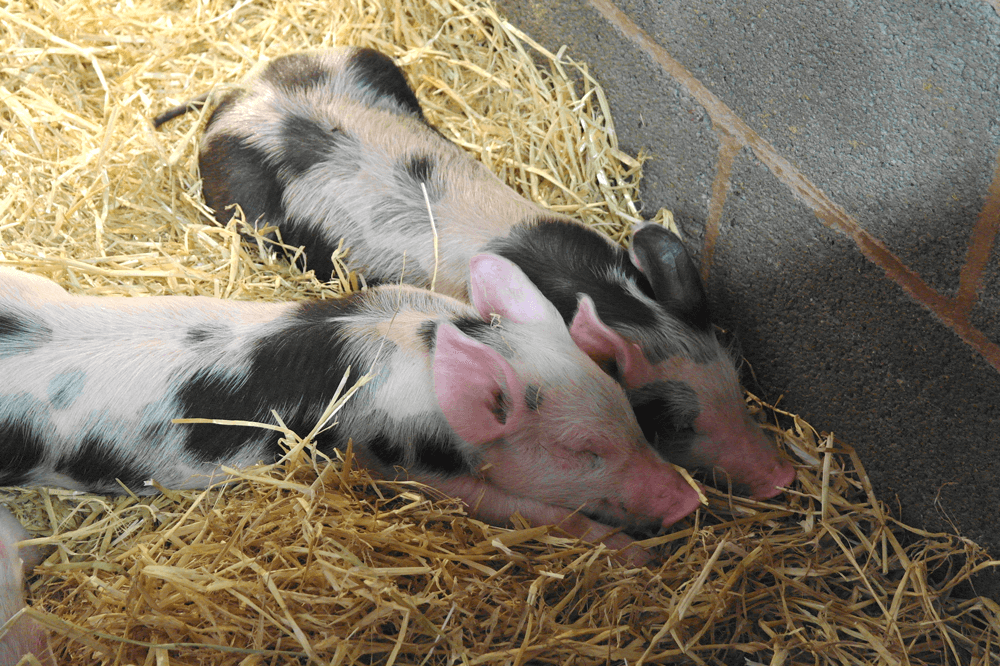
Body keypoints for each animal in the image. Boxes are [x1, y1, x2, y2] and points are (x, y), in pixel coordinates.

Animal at [0, 256, 703, 561]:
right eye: (583, 451)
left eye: (631, 416)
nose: (686, 502)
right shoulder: (405, 466)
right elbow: (526, 510)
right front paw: (635, 555)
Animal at [153, 47, 796, 500]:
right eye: (669, 418)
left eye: (732, 380)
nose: (782, 478)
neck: (597, 296)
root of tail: (241, 96)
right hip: (240, 211)